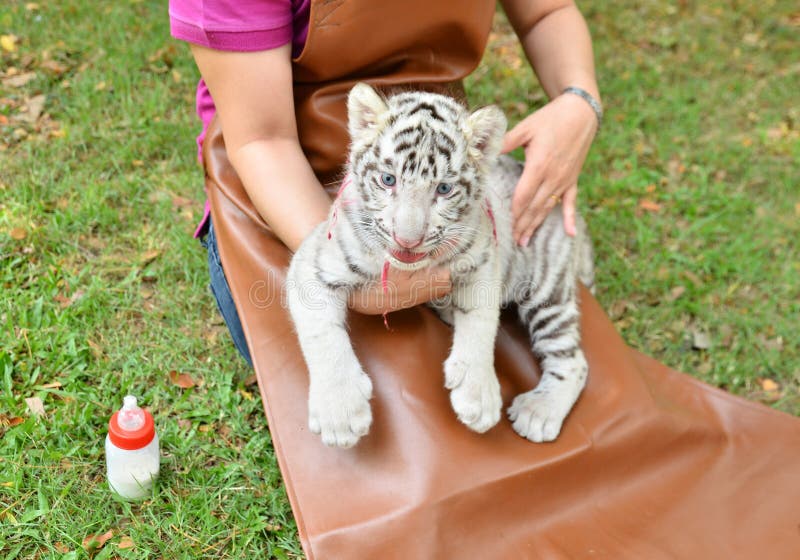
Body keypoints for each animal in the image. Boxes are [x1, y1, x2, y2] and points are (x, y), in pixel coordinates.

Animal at [286, 83, 595, 448]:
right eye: (388, 180)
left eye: (444, 189)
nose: (407, 241)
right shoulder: (313, 265)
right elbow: (323, 336)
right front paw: (341, 411)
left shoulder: (483, 261)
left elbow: (480, 324)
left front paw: (477, 394)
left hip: (547, 287)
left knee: (574, 361)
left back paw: (539, 411)